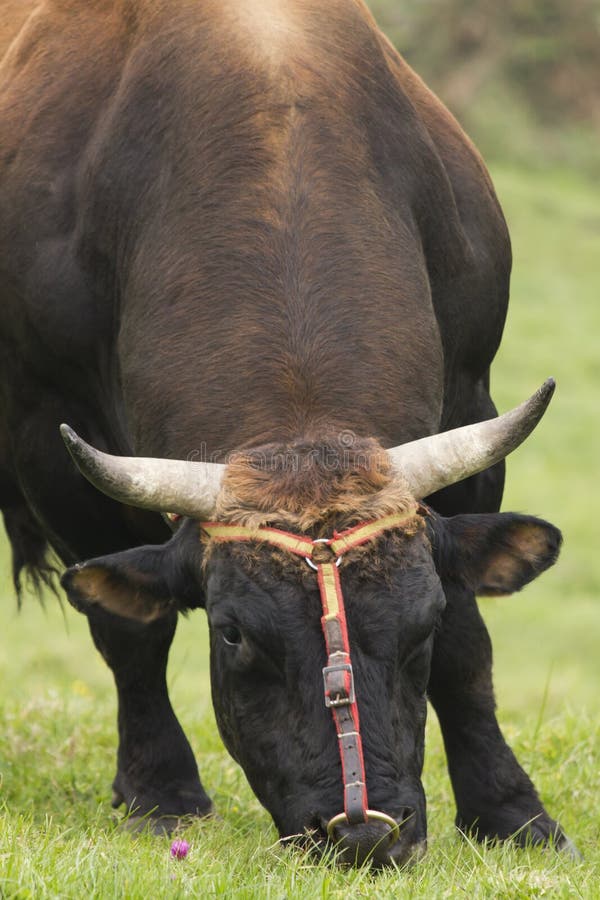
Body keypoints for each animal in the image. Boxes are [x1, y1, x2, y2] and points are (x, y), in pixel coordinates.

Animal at [0, 0, 575, 868]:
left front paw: (512, 812)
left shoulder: (471, 401)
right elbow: (130, 632)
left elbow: (470, 646)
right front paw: (162, 795)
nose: (364, 830)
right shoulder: (48, 439)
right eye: (235, 634)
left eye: (422, 621)